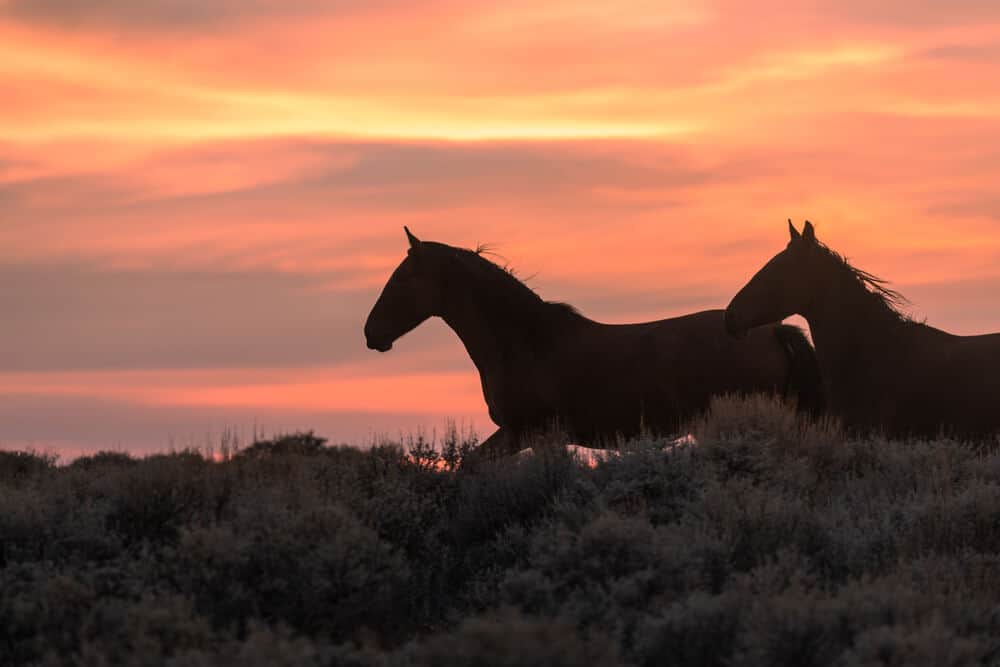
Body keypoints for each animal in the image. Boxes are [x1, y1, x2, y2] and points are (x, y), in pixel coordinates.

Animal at [365, 227, 823, 458]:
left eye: (403, 278)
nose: (371, 332)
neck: (525, 341)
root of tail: (773, 330)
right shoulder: (513, 434)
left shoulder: (525, 432)